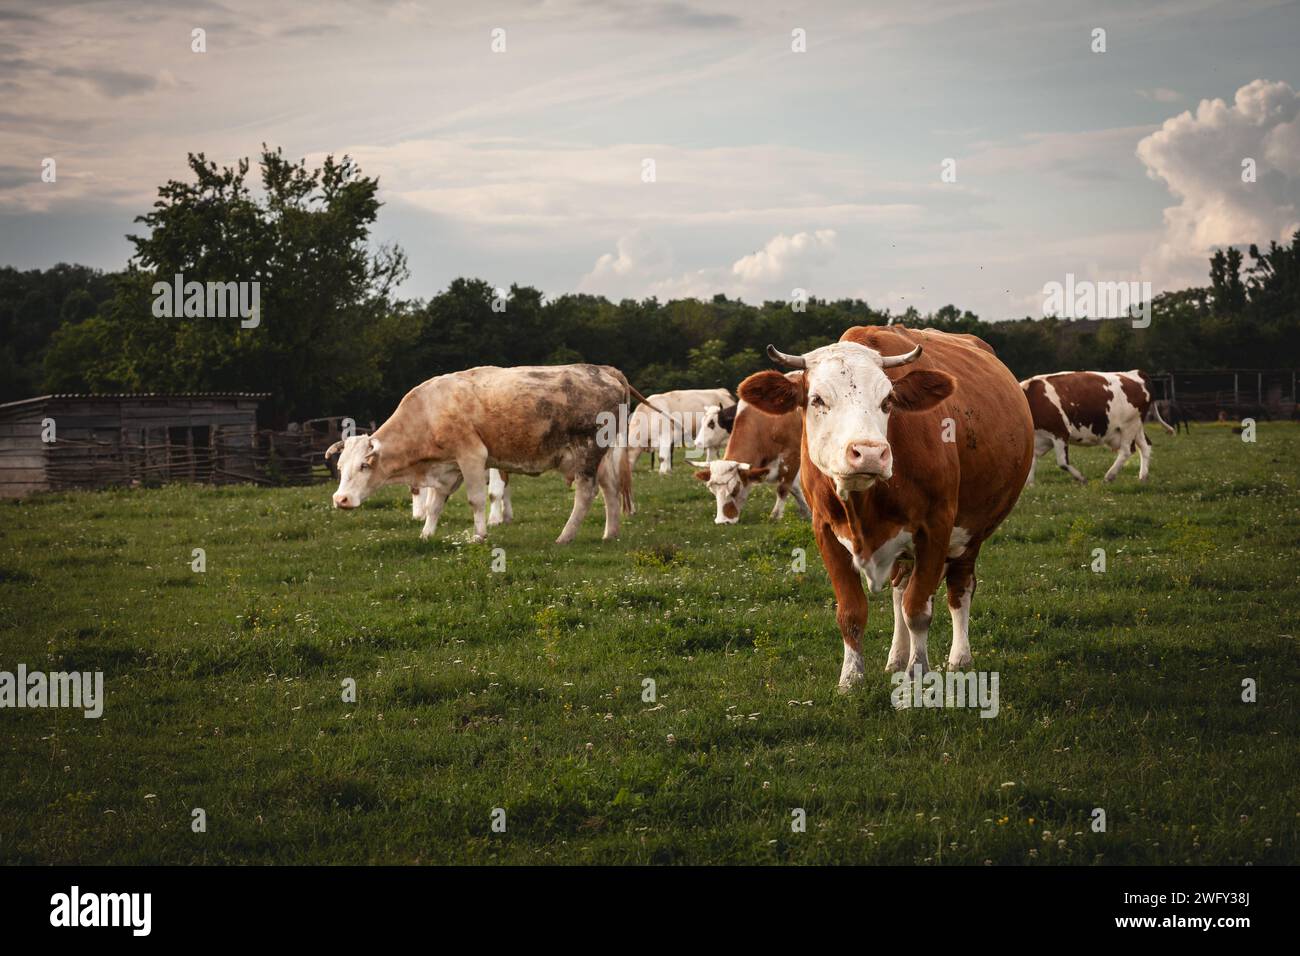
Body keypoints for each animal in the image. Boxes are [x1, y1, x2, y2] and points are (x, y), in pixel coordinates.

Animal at [327, 364, 640, 544]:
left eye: (364, 466)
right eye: (341, 468)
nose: (340, 499)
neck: (427, 411)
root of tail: (604, 370)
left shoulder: (472, 457)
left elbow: (476, 500)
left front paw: (479, 534)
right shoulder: (448, 468)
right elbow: (435, 505)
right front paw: (426, 534)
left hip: (587, 452)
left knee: (586, 493)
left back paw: (565, 536)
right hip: (600, 457)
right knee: (609, 489)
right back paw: (610, 533)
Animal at [737, 326, 1032, 691]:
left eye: (887, 401)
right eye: (817, 399)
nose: (869, 453)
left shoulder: (936, 528)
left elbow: (918, 609)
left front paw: (918, 675)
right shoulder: (825, 532)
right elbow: (852, 611)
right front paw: (851, 678)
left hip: (971, 533)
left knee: (958, 589)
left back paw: (959, 658)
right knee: (899, 591)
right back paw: (896, 657)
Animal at [1020, 370, 1175, 485]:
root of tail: (1136, 373)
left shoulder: (1060, 432)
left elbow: (1062, 463)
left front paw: (1081, 478)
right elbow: (1031, 461)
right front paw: (1029, 484)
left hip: (1129, 425)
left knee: (1126, 450)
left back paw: (1109, 476)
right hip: (1136, 426)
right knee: (1145, 446)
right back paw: (1142, 477)